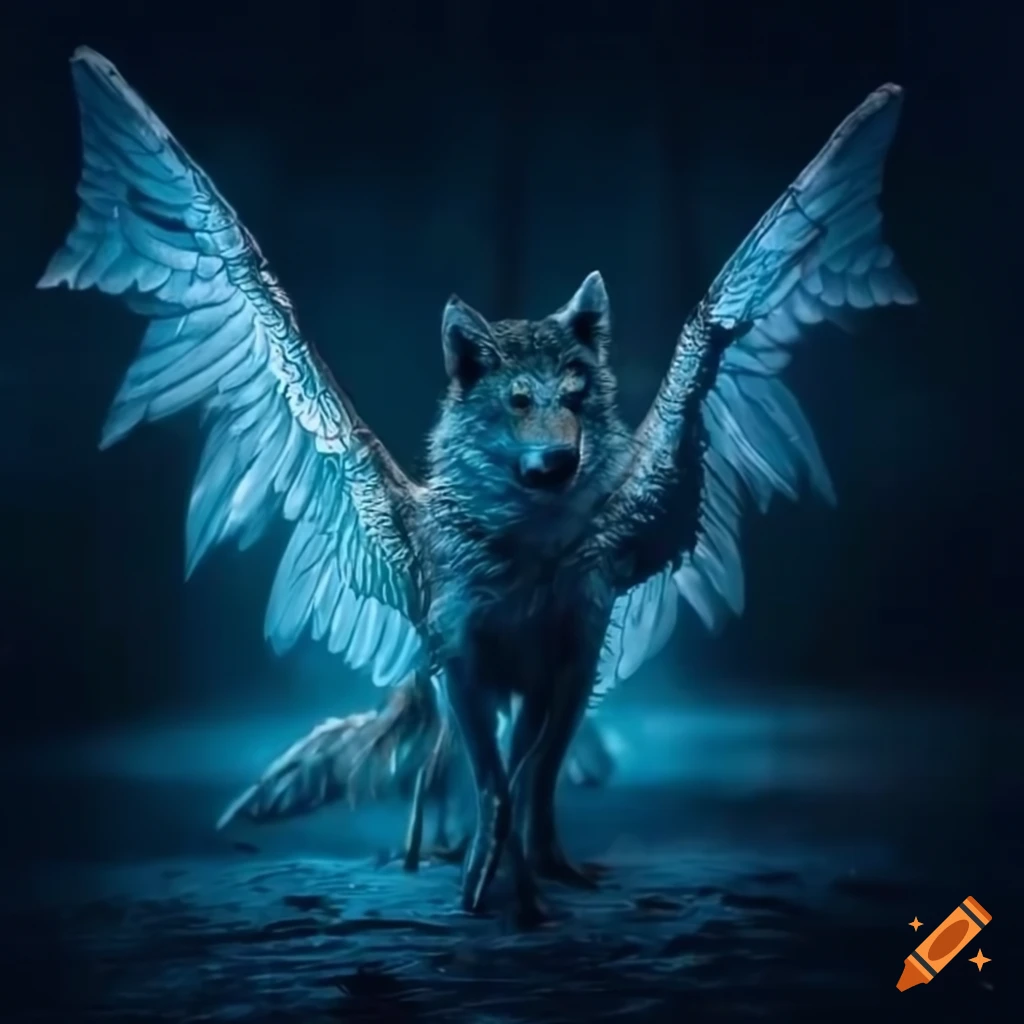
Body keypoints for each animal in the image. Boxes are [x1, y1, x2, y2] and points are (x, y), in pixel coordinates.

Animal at [40, 47, 915, 921]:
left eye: (576, 397)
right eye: (516, 402)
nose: (556, 464)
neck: (529, 546)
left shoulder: (570, 660)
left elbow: (534, 779)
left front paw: (540, 872)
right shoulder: (462, 661)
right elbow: (492, 780)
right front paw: (484, 881)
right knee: (448, 767)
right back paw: (434, 853)